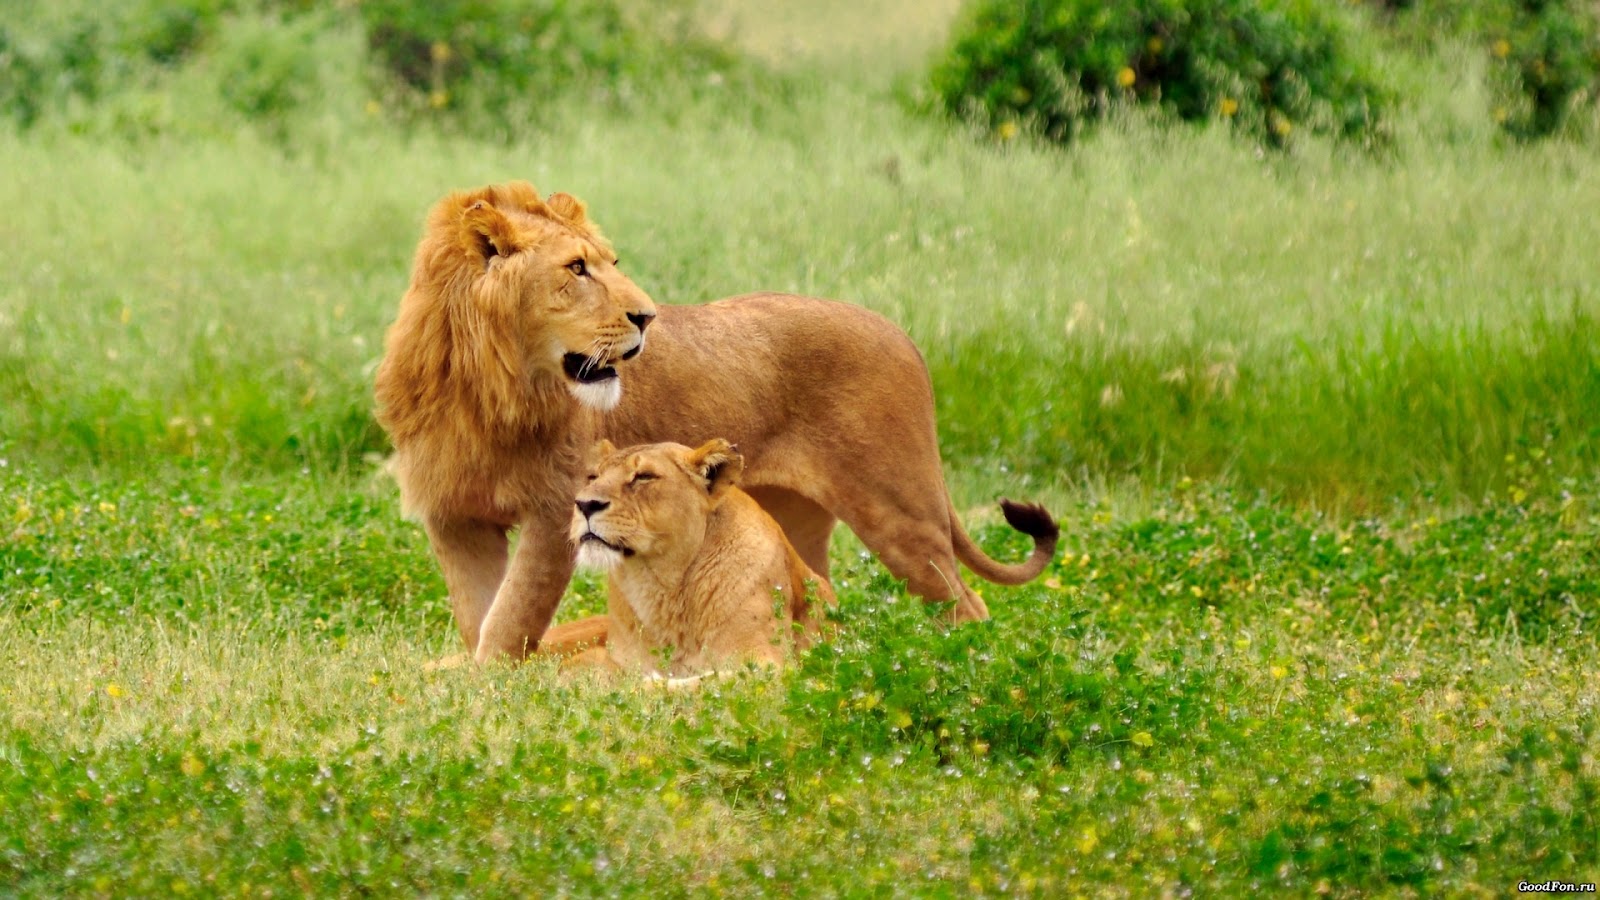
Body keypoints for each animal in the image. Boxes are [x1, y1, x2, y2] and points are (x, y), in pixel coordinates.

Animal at [374, 181, 1059, 664]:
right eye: (576, 269)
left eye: (610, 261)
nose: (647, 317)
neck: (483, 386)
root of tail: (903, 336)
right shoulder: (455, 517)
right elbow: (479, 617)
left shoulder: (553, 512)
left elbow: (511, 619)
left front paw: (491, 690)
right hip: (796, 519)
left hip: (899, 510)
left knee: (967, 603)